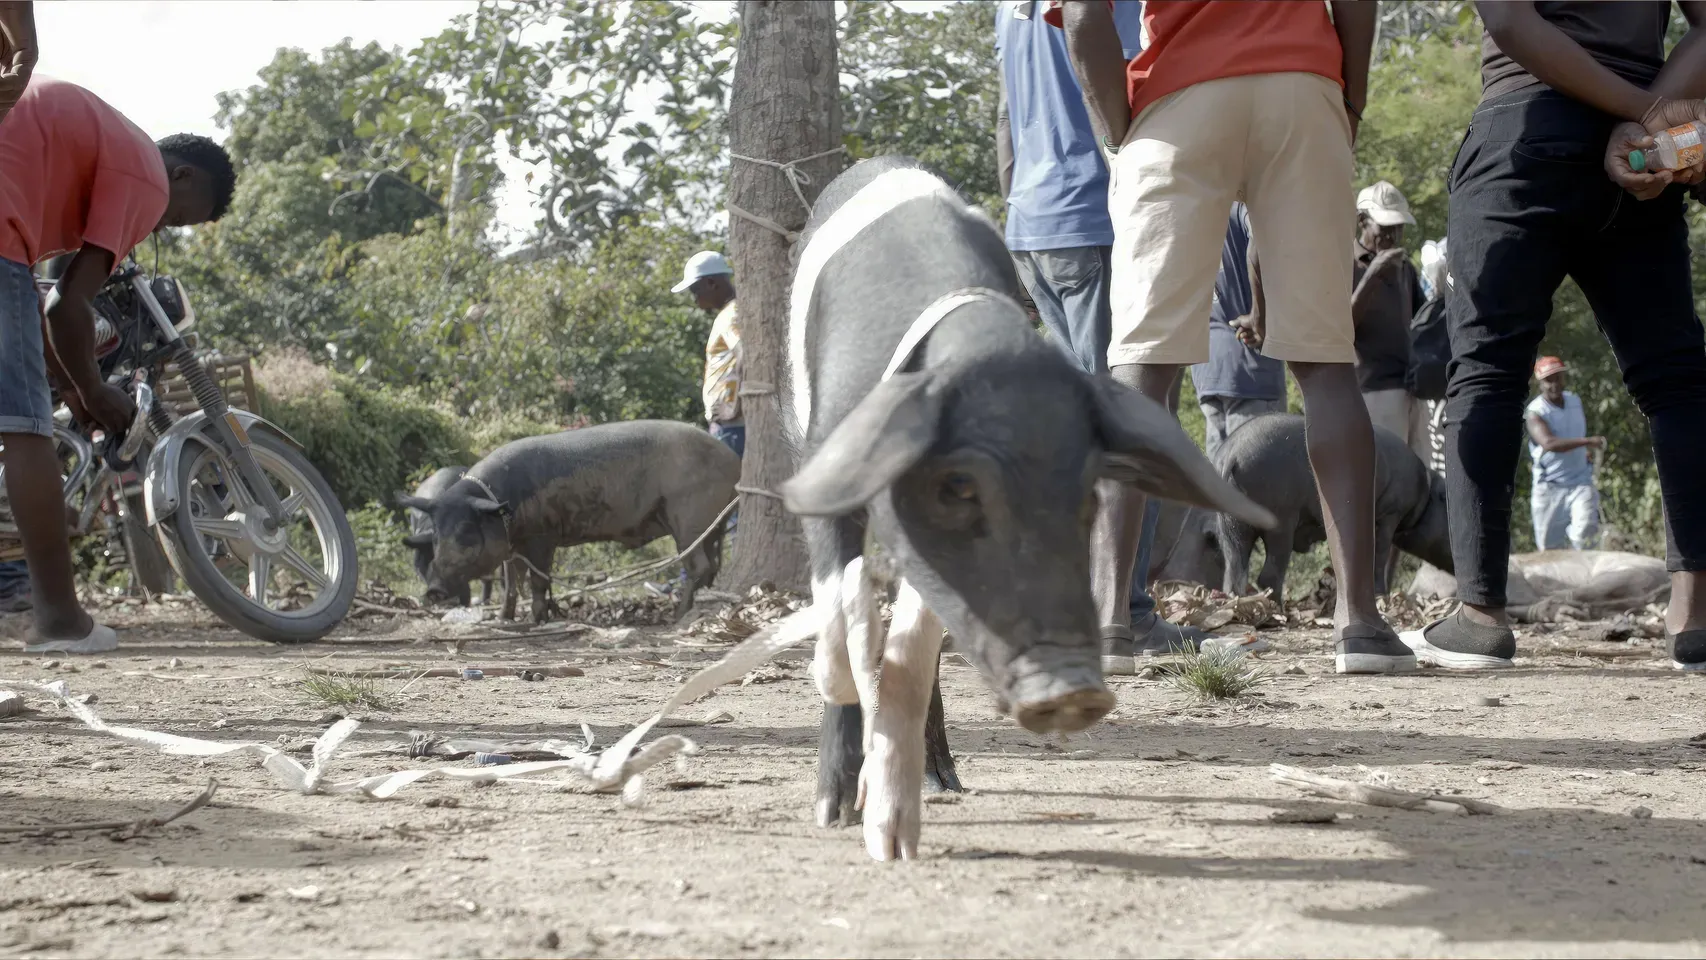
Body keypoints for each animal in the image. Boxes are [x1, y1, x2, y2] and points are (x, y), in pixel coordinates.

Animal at [780, 156, 1271, 861]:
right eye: (958, 486)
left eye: (1087, 491)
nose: (1073, 686)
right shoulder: (828, 463)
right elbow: (842, 624)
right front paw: (835, 810)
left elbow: (914, 645)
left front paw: (895, 836)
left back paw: (945, 782)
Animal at [1217, 413, 1452, 600]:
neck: (1424, 493)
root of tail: (1232, 454)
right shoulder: (1390, 514)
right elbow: (1381, 554)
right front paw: (1381, 595)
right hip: (1280, 520)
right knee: (1268, 575)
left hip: (1230, 523)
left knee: (1233, 570)